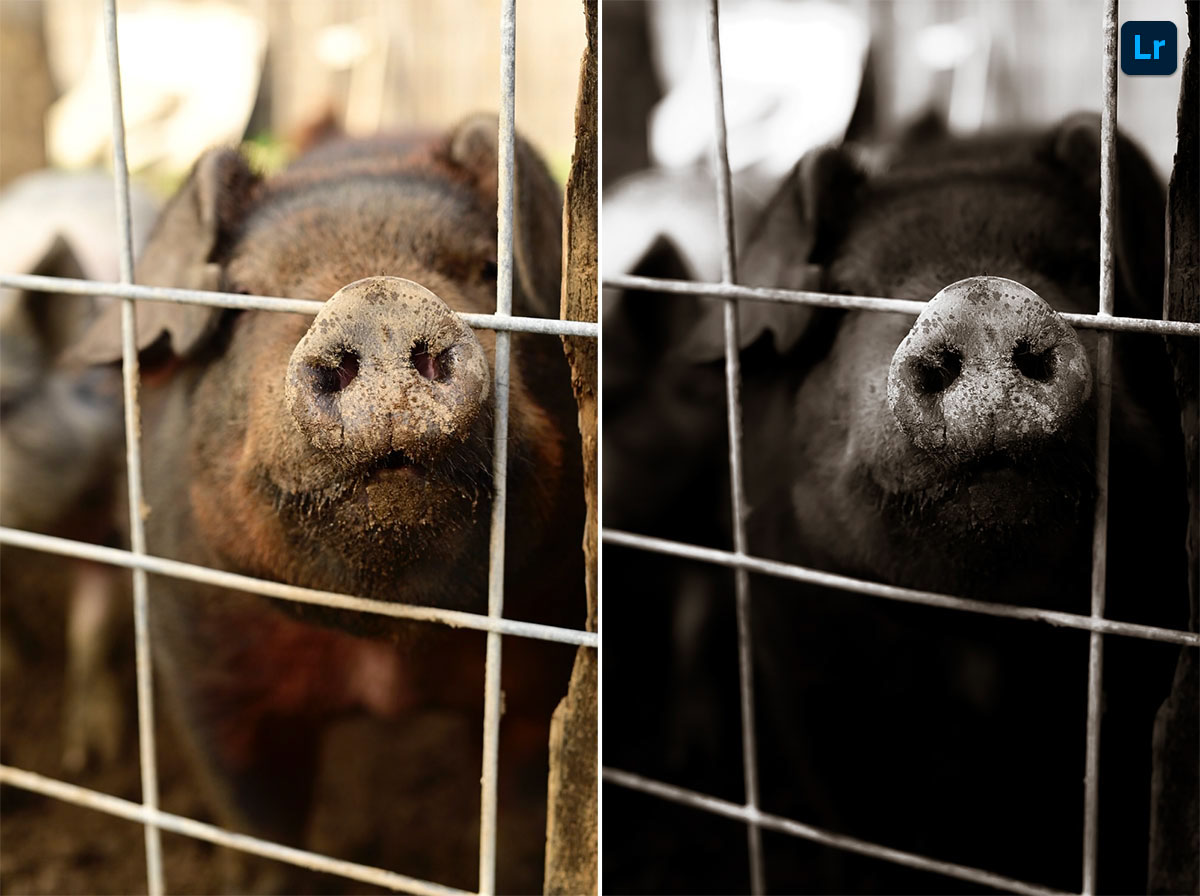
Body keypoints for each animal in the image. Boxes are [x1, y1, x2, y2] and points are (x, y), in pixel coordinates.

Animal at [73, 116, 584, 892]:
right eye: (245, 292)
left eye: (481, 269)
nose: (379, 297)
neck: (382, 655)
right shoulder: (203, 659)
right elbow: (262, 826)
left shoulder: (544, 644)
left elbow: (527, 817)